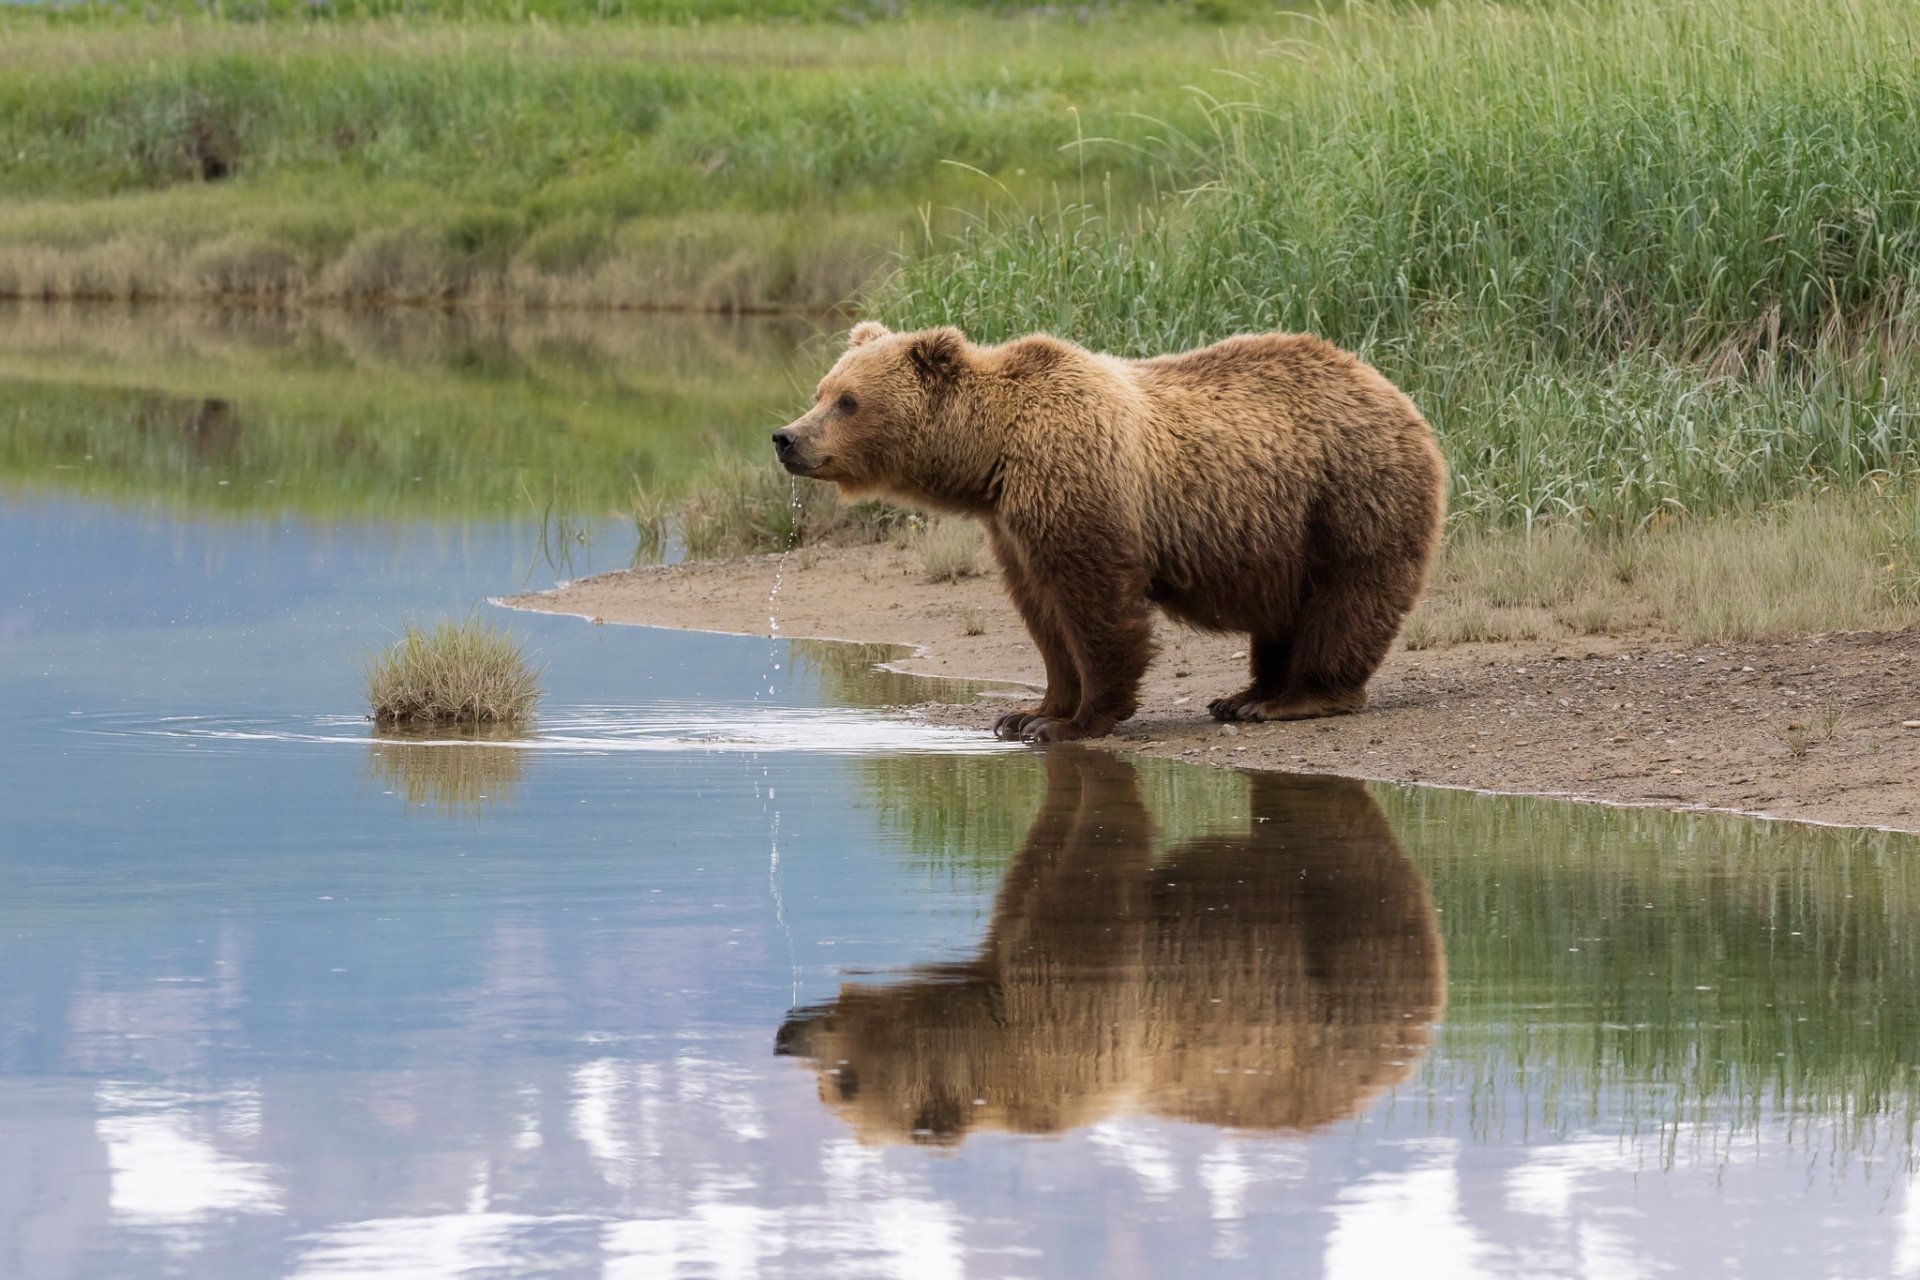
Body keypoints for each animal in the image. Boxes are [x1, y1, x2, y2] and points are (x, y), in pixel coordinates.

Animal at [772, 321, 1446, 742]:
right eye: (822, 390)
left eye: (849, 401)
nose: (786, 437)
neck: (993, 455)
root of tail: (1396, 392)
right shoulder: (1012, 527)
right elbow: (1044, 616)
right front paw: (1025, 713)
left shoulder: (1076, 481)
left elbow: (1094, 604)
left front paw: (1073, 722)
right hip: (1282, 532)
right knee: (1283, 612)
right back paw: (1243, 694)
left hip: (1349, 497)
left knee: (1347, 601)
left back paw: (1292, 699)